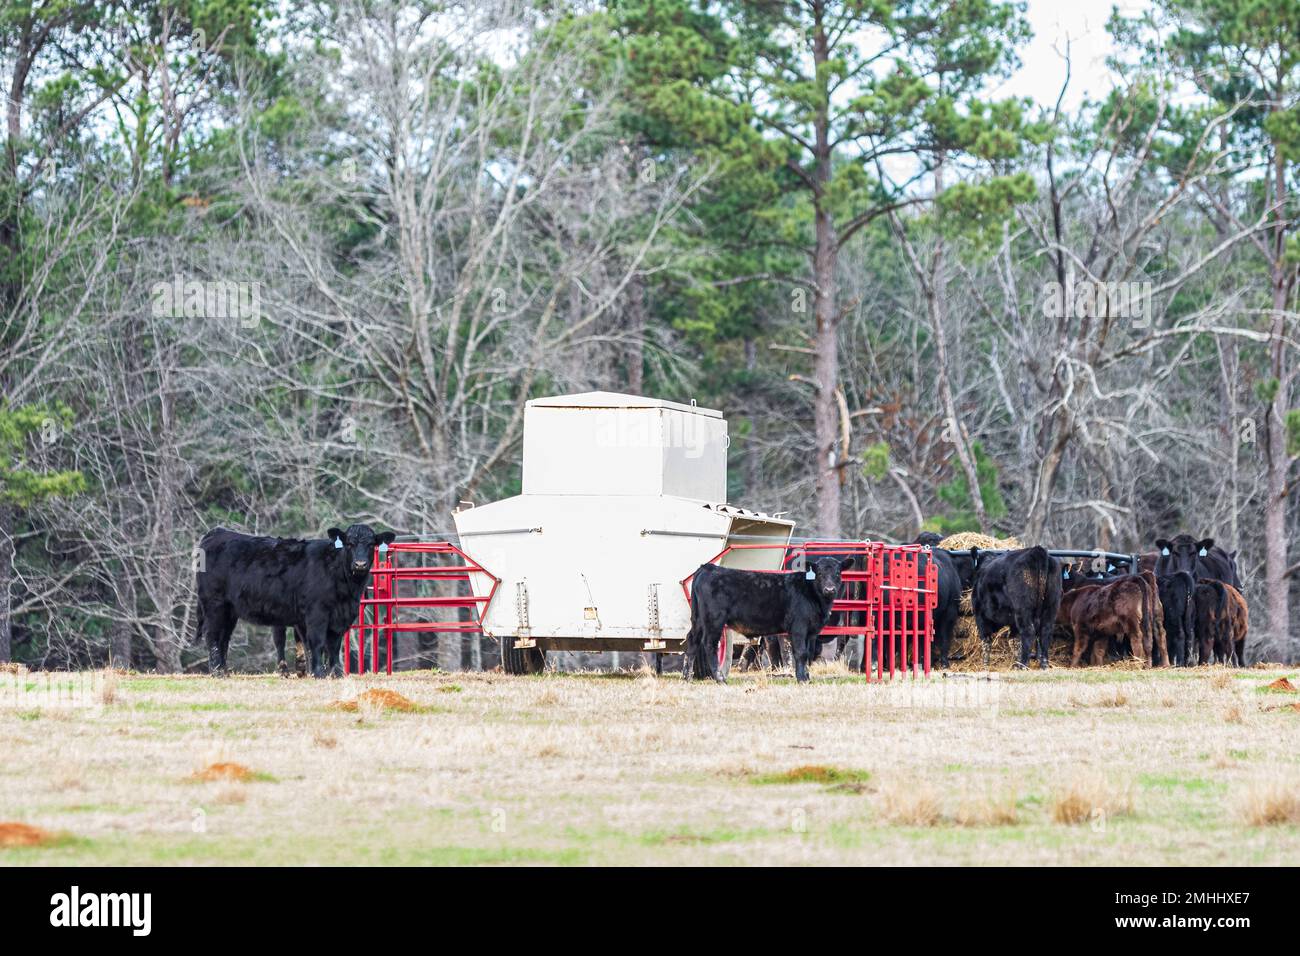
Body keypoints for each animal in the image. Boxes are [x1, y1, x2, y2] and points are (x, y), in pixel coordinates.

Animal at [196, 524, 396, 678]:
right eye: (349, 544)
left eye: (371, 544)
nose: (360, 564)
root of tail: (217, 532)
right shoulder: (316, 613)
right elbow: (317, 642)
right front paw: (318, 673)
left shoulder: (340, 616)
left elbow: (334, 645)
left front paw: (336, 673)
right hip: (214, 604)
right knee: (212, 635)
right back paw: (217, 672)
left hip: (230, 610)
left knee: (224, 637)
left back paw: (224, 671)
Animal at [684, 556, 854, 684]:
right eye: (819, 573)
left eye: (838, 573)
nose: (829, 589)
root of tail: (708, 568)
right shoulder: (799, 627)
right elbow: (801, 653)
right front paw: (801, 679)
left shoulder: (811, 632)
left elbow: (808, 653)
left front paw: (806, 677)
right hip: (714, 619)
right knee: (710, 644)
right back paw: (720, 678)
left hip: (698, 619)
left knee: (692, 641)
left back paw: (687, 677)